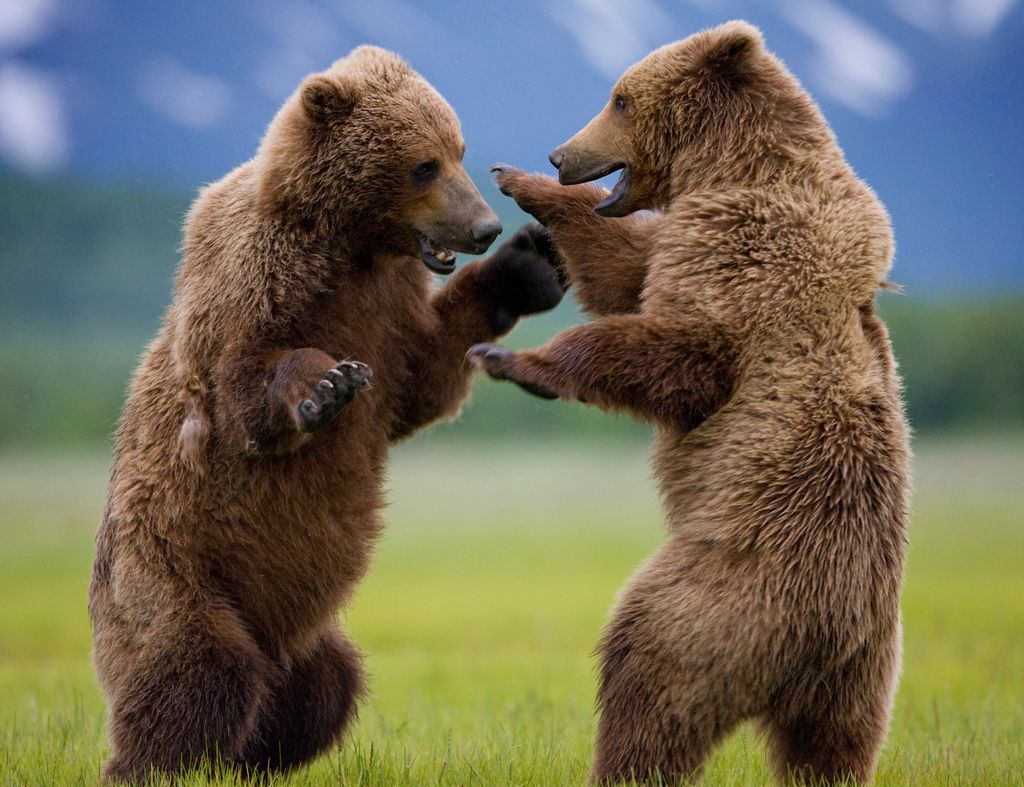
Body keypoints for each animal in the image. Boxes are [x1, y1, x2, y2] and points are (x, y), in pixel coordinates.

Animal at [88, 46, 564, 783]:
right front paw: (328, 386)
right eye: (423, 163)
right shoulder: (251, 279)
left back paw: (258, 754)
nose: (483, 228)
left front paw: (530, 261)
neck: (348, 246)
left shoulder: (390, 306)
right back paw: (151, 761)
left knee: (325, 688)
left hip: (304, 635)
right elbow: (243, 392)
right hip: (168, 573)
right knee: (197, 672)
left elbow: (422, 378)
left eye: (458, 149)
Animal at [469, 20, 910, 785]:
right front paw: (519, 185)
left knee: (649, 679)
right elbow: (625, 267)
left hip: (725, 600)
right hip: (864, 675)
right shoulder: (683, 242)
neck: (725, 167)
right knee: (833, 748)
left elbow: (677, 351)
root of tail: (819, 644)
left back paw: (620, 761)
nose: (560, 154)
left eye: (618, 97)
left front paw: (518, 360)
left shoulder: (745, 259)